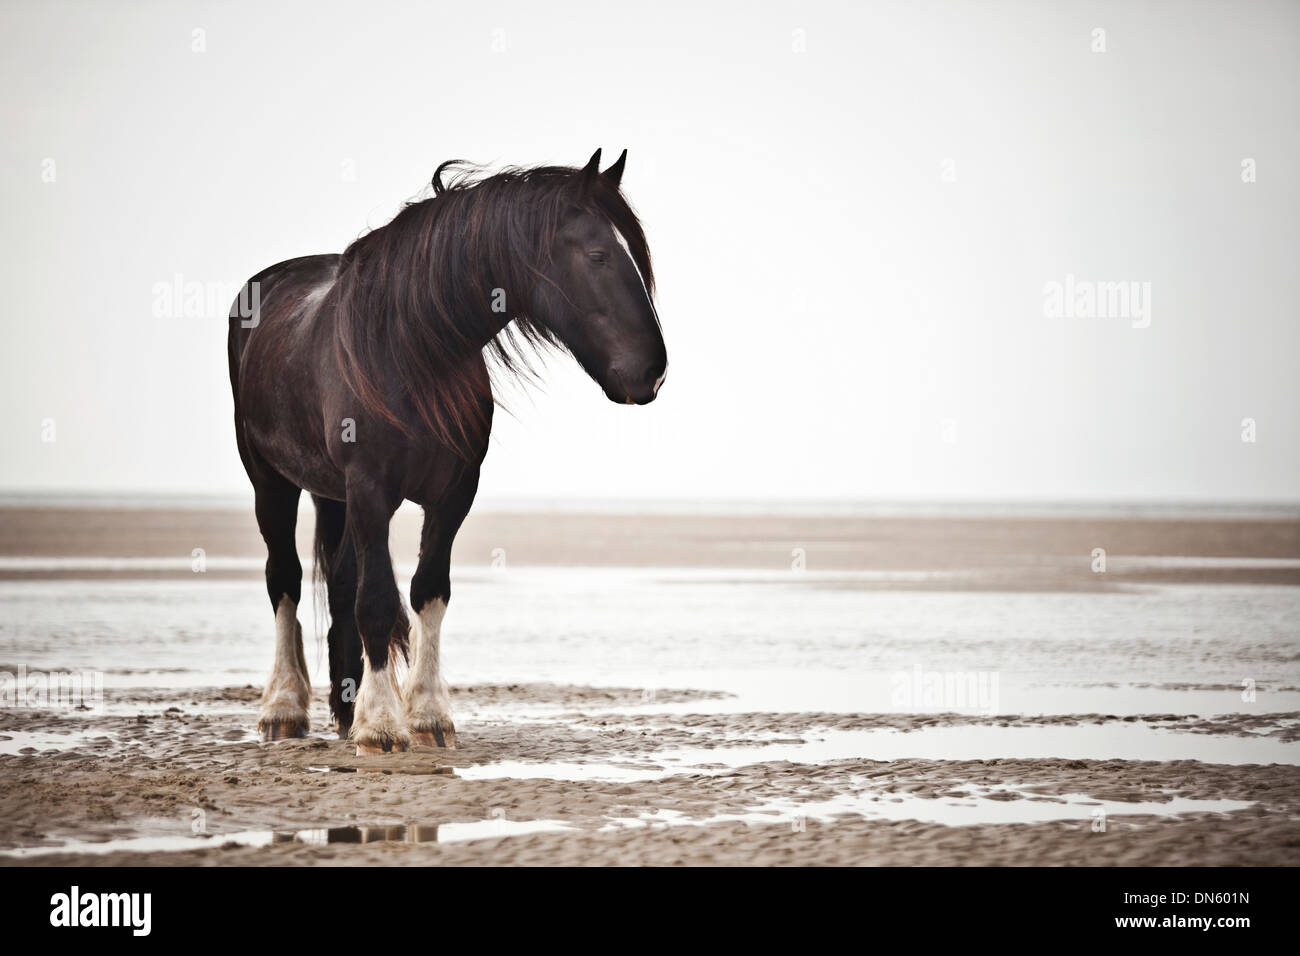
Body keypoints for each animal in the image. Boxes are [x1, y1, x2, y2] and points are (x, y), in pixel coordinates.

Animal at [227, 149, 666, 755]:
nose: (653, 370)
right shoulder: (370, 489)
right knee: (285, 580)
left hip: (331, 493)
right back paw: (284, 708)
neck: (409, 351)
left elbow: (426, 592)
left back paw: (343, 706)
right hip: (270, 481)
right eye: (599, 255)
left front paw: (428, 716)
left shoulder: (453, 493)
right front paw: (380, 726)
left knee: (336, 581)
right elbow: (376, 599)